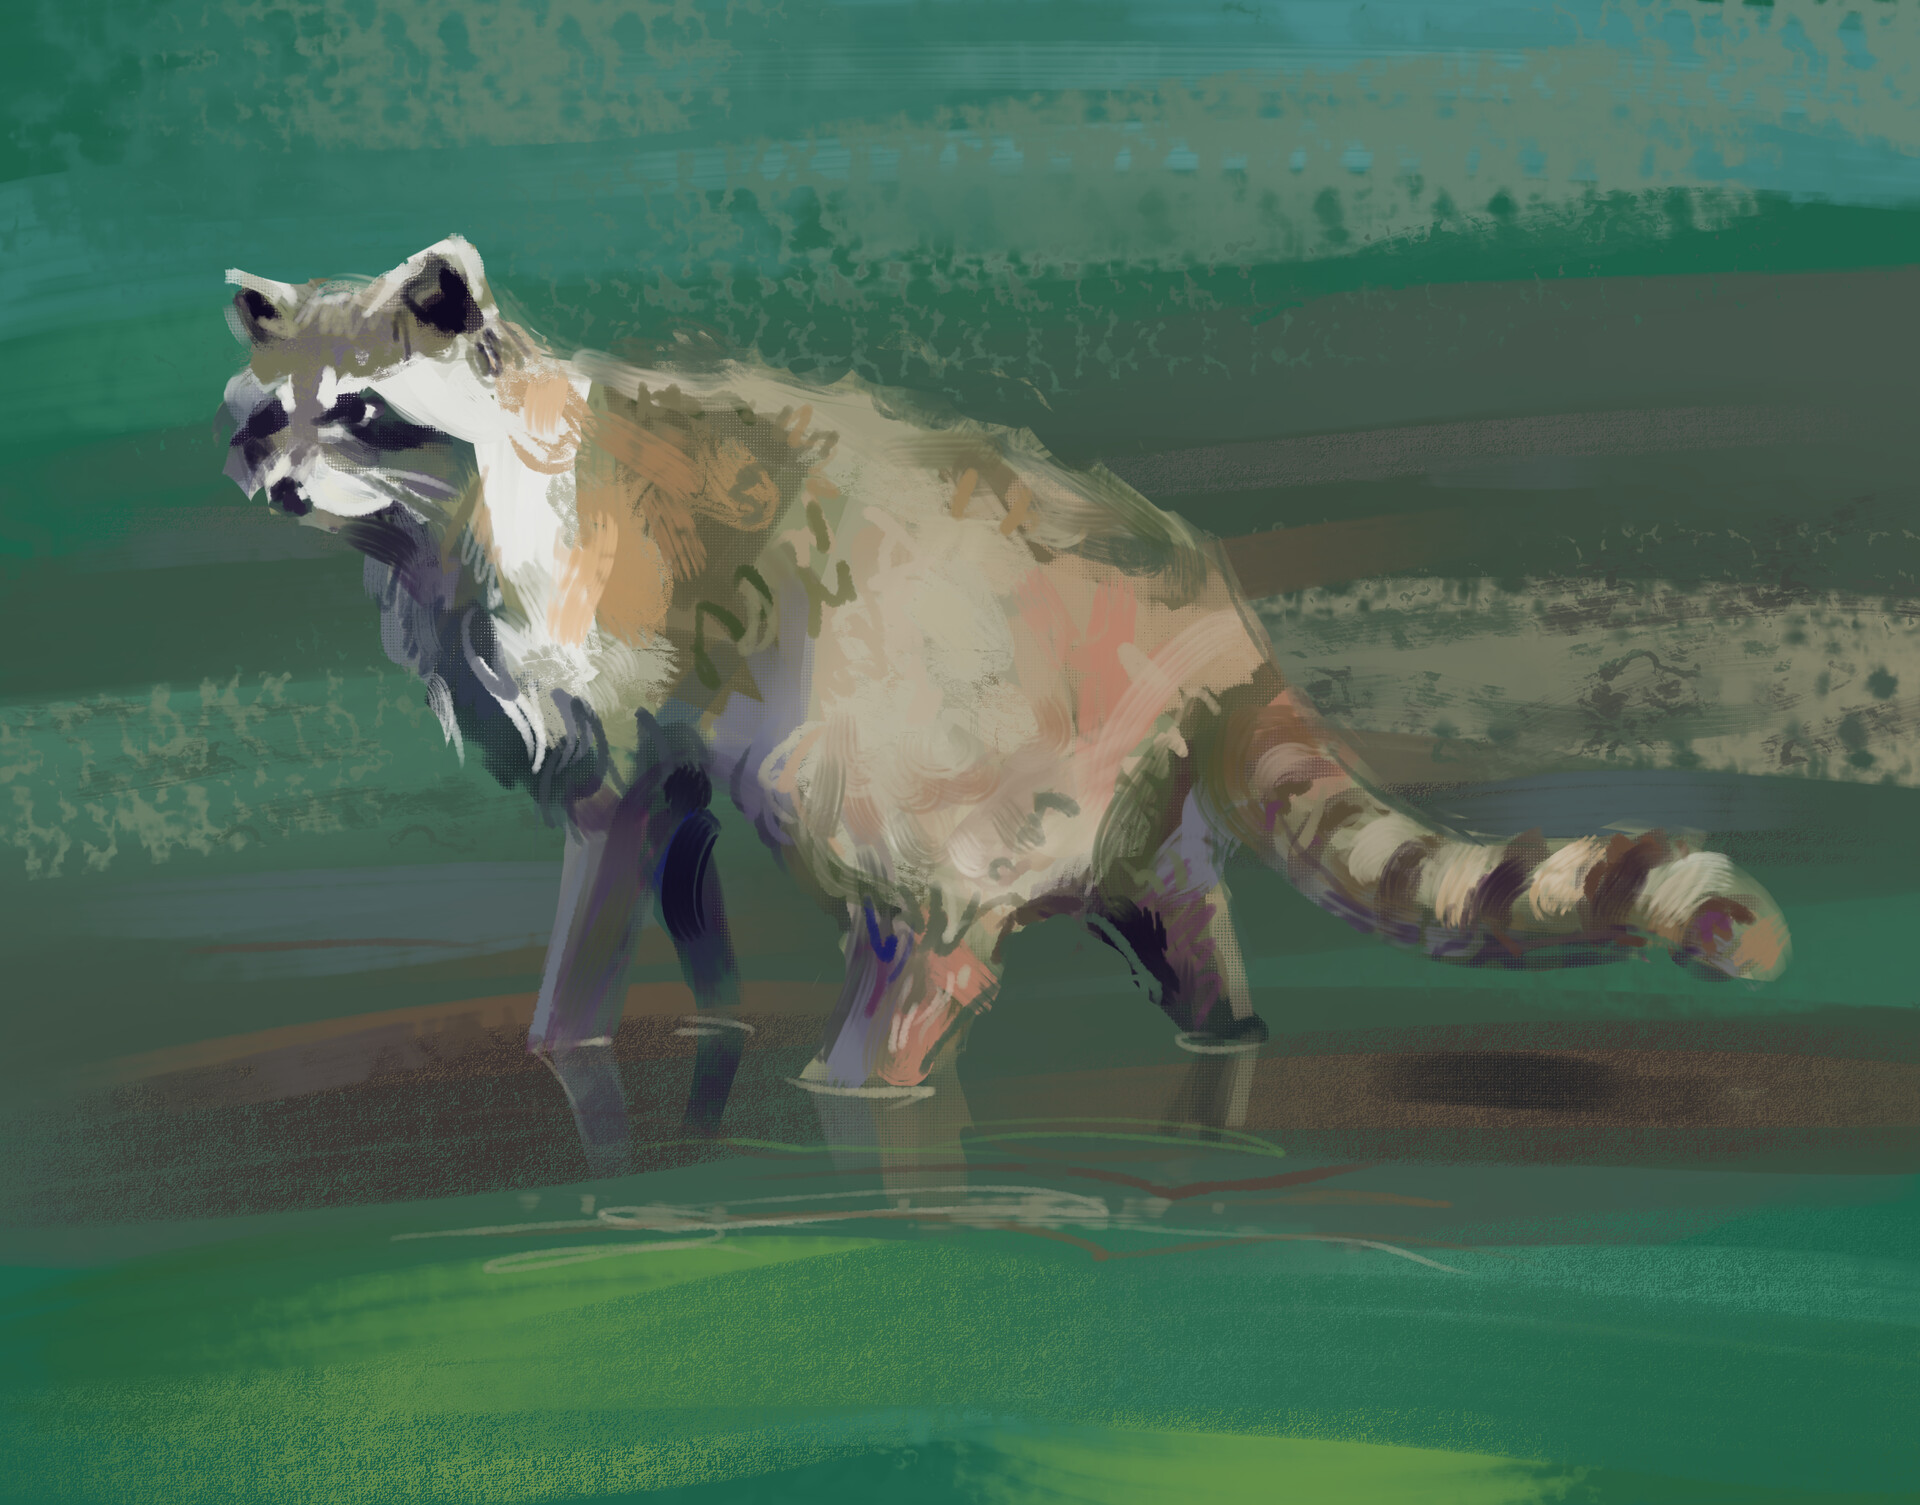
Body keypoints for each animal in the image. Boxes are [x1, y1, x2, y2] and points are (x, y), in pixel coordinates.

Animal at [220, 237, 1789, 1168]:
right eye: (263, 417)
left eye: (361, 414)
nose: (280, 487)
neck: (437, 524)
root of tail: (1202, 597)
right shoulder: (643, 712)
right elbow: (676, 850)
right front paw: (698, 1017)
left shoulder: (610, 618)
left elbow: (608, 848)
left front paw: (565, 1039)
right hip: (1108, 757)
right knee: (1171, 891)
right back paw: (1216, 1014)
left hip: (909, 693)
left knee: (882, 850)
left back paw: (877, 1057)